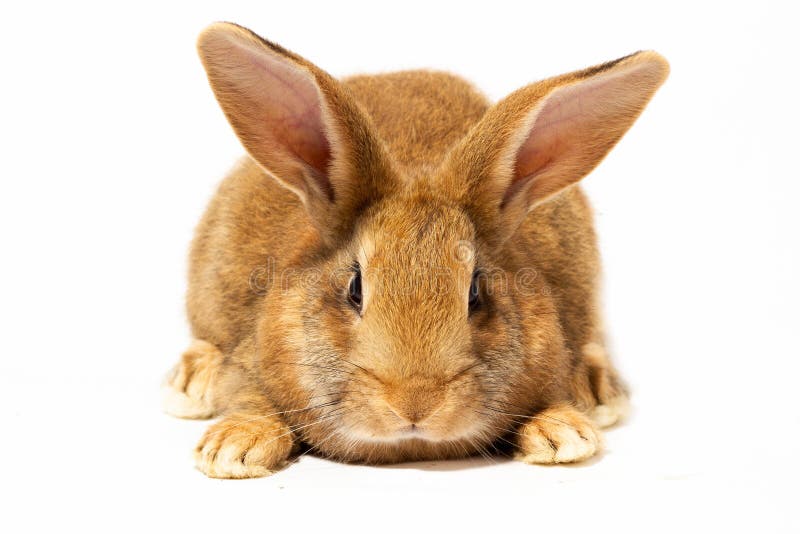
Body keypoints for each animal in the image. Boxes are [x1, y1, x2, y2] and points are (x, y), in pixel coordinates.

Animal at [162, 21, 669, 478]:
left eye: (475, 293)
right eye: (355, 288)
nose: (414, 404)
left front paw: (562, 433)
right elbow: (249, 398)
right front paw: (234, 446)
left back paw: (598, 389)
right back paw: (191, 382)